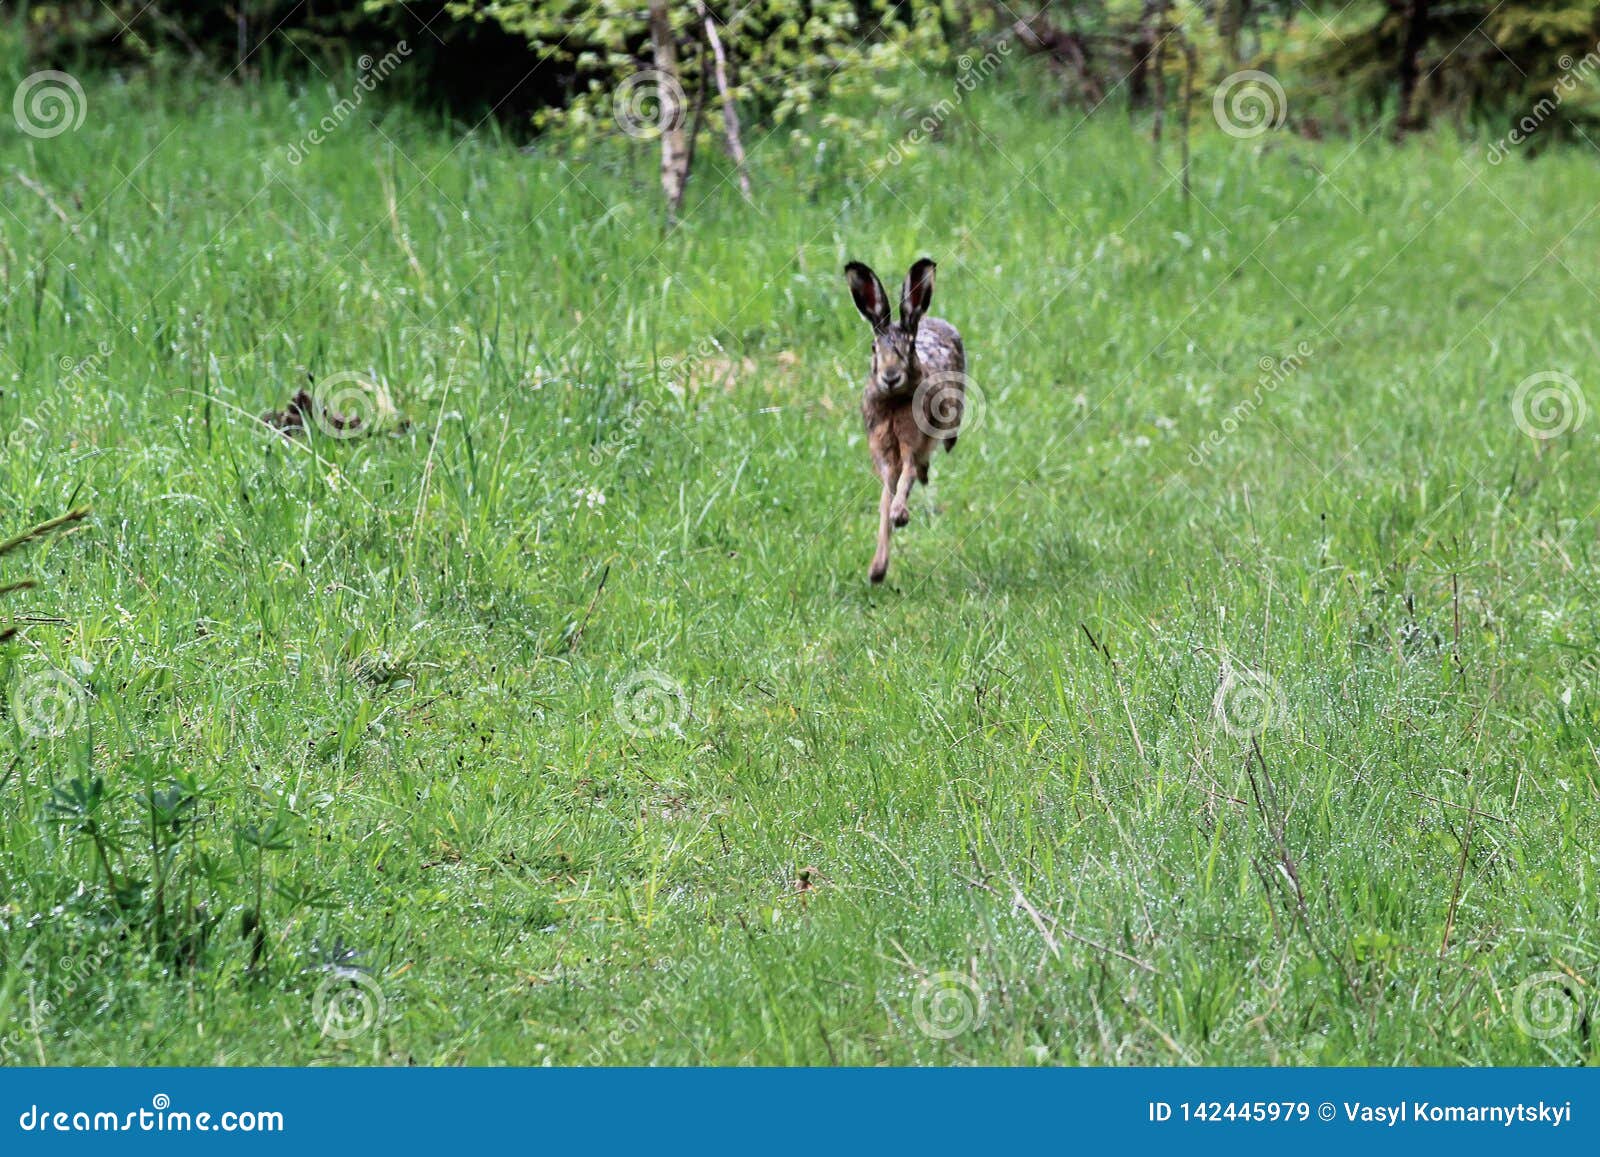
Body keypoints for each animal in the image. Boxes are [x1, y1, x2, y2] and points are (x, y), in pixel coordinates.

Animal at [844, 258, 966, 584]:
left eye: (909, 348)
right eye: (874, 348)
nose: (890, 376)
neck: (894, 400)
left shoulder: (912, 441)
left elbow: (906, 474)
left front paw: (900, 515)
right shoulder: (882, 448)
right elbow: (887, 493)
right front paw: (876, 570)